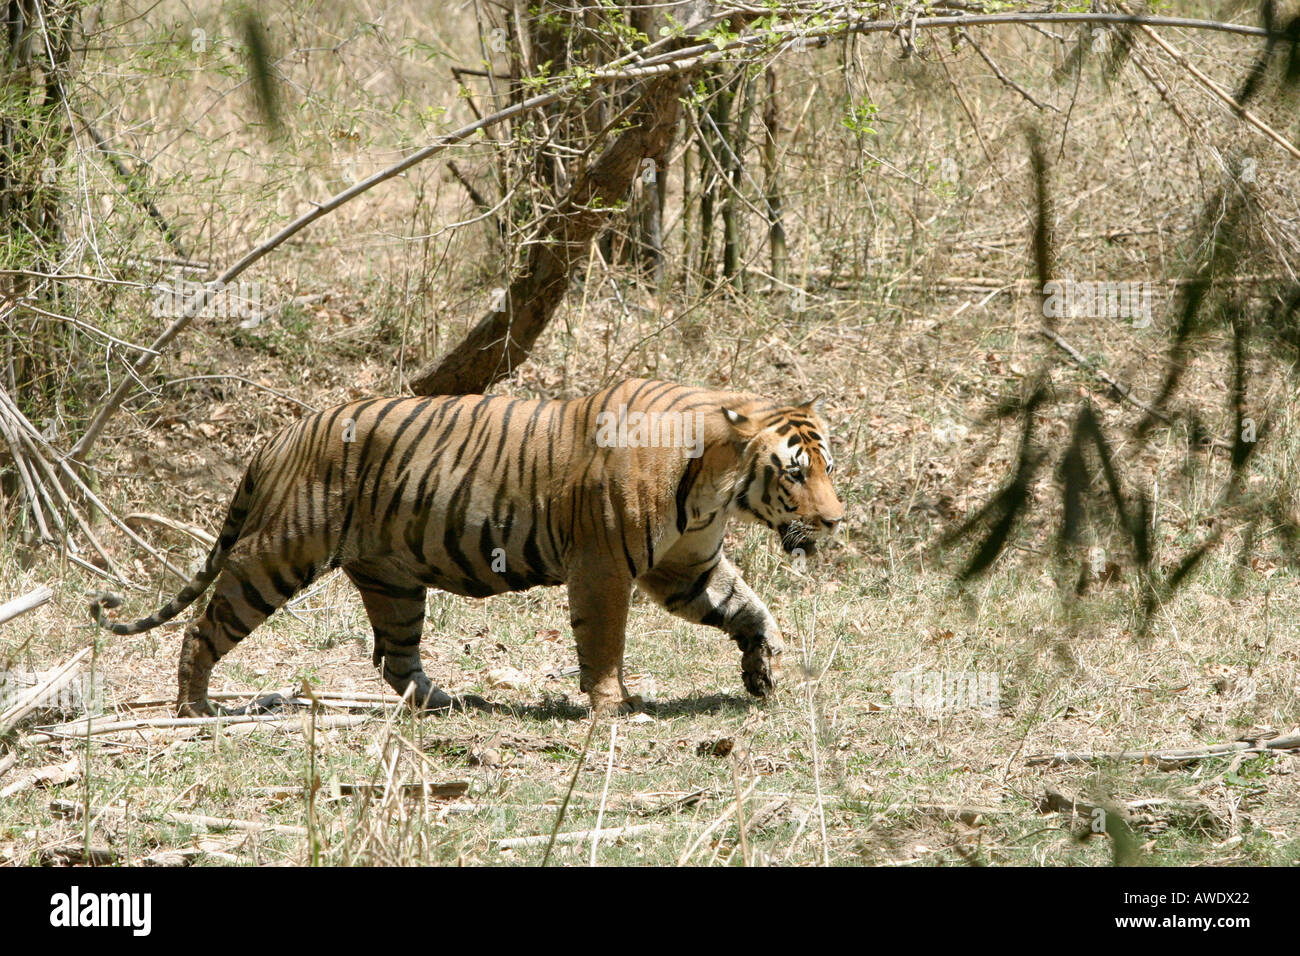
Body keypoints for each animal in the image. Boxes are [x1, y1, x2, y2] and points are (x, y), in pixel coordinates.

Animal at [90, 378, 844, 717]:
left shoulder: (686, 566)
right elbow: (604, 640)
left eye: (827, 467)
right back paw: (194, 709)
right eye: (794, 472)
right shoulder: (603, 567)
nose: (836, 522)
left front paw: (763, 671)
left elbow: (748, 608)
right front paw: (611, 705)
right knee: (203, 626)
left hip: (393, 580)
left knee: (394, 657)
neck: (714, 485)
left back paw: (445, 702)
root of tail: (281, 435)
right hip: (277, 556)